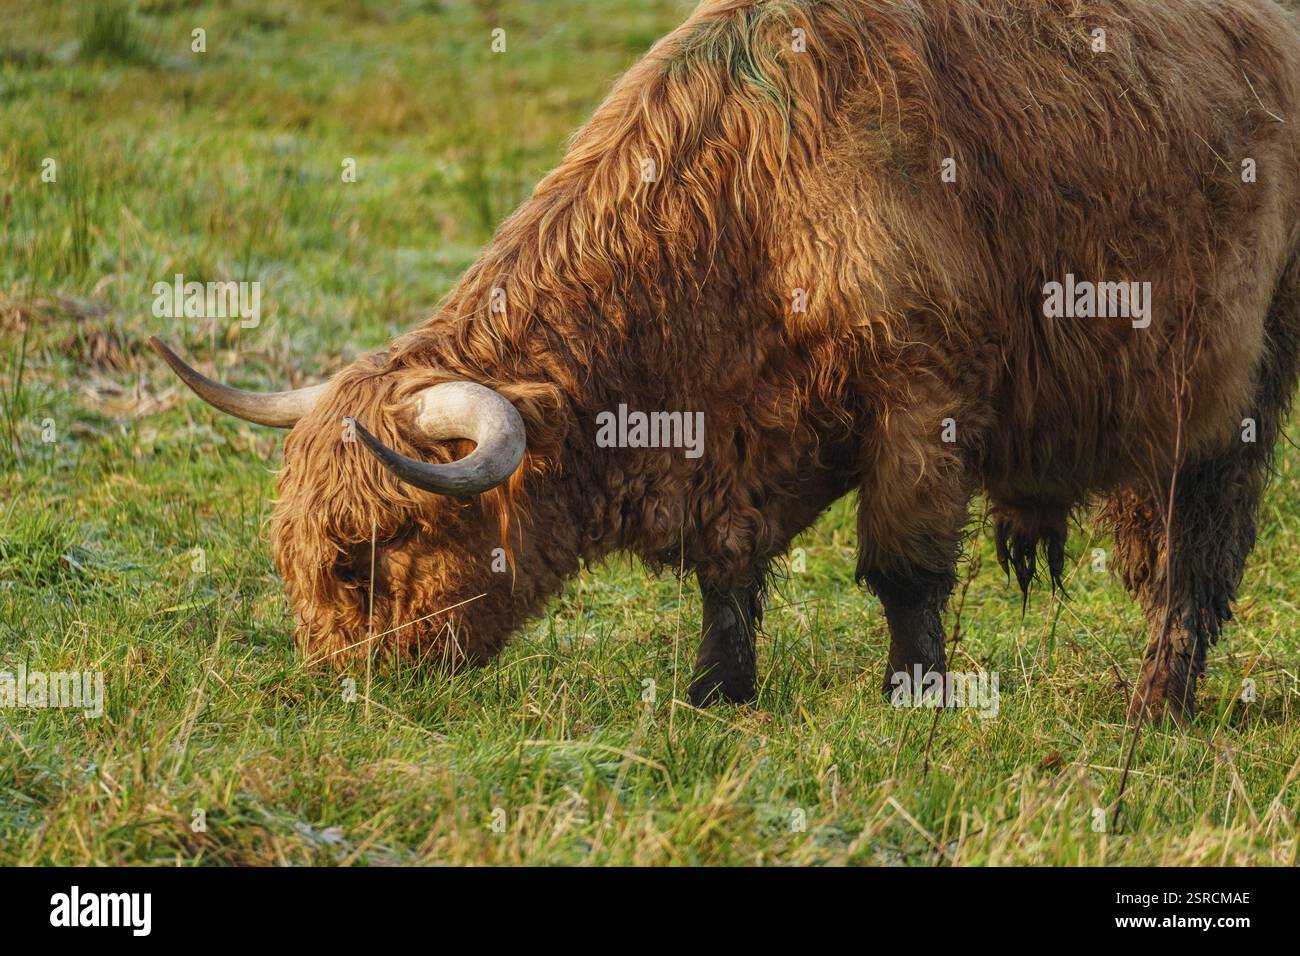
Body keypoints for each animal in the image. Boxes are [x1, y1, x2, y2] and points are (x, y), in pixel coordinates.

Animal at [153, 0, 1300, 721]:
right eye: (297, 558)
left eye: (367, 552)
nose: (343, 686)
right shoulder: (737, 432)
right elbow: (729, 571)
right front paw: (716, 691)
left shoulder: (919, 394)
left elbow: (904, 567)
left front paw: (914, 697)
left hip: (1248, 369)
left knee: (1200, 544)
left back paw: (1156, 703)